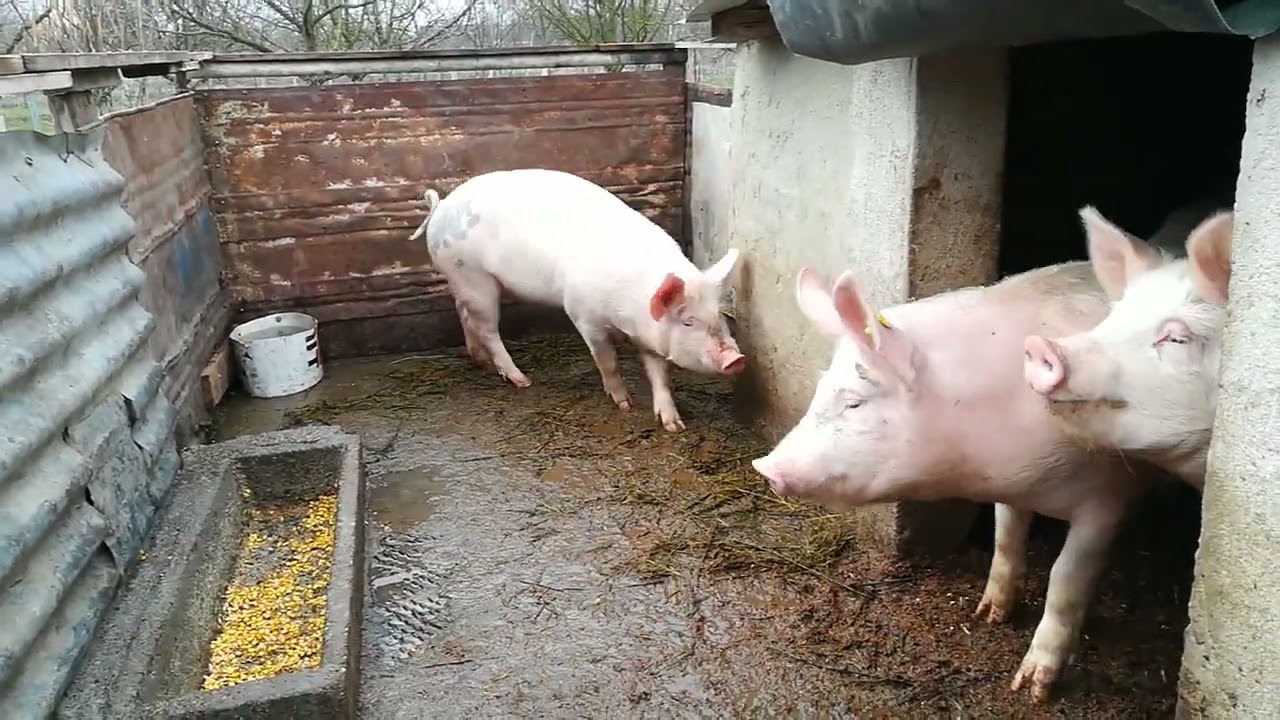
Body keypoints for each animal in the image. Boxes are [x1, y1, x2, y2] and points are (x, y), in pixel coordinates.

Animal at [408, 169, 746, 432]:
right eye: (687, 320)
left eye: (719, 316)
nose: (736, 358)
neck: (628, 308)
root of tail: (440, 207)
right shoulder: (583, 316)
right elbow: (607, 361)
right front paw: (624, 405)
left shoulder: (649, 337)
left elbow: (659, 373)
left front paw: (674, 425)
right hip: (473, 276)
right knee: (488, 329)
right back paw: (522, 380)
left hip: (462, 281)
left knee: (465, 315)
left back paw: (479, 360)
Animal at [750, 263, 1155, 702]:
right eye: (818, 390)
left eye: (854, 402)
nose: (765, 466)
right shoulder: (1013, 487)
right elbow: (1005, 536)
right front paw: (989, 615)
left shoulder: (1110, 497)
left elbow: (1066, 576)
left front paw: (1032, 688)